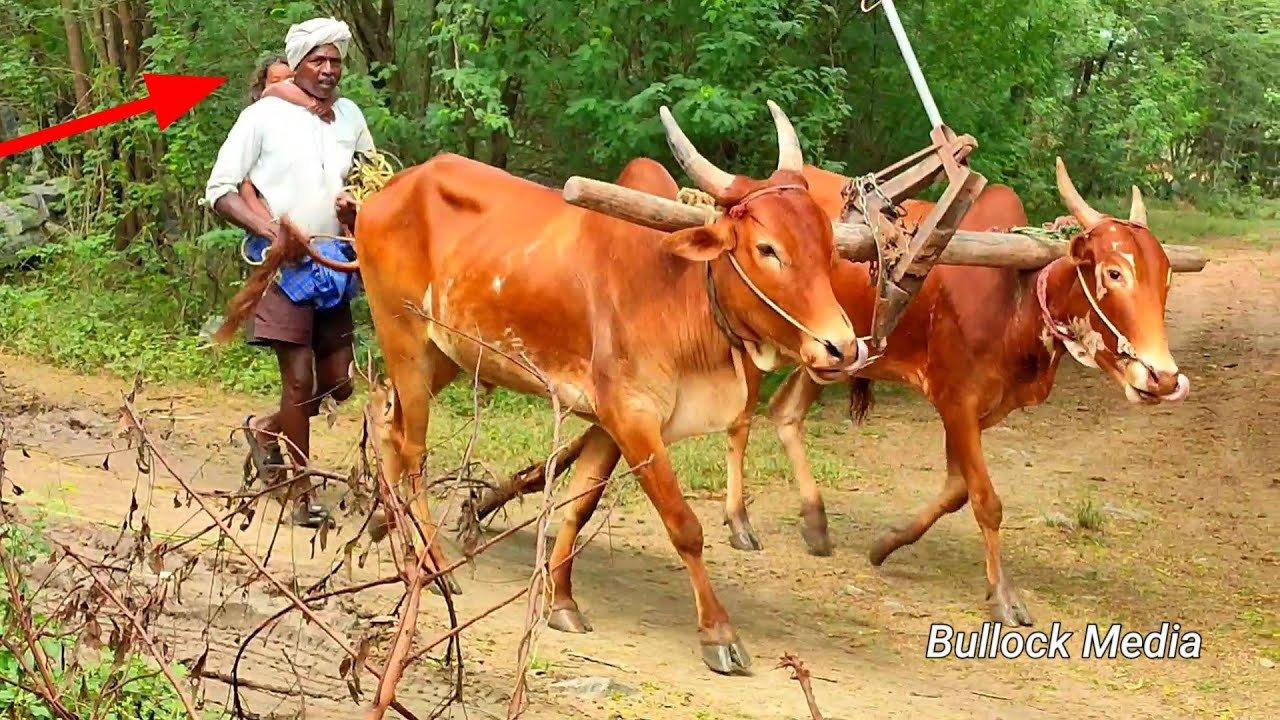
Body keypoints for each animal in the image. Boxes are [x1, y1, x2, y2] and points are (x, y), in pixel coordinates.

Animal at [342, 102, 871, 675]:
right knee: (412, 452)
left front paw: (562, 601)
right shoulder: (632, 417)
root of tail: (386, 192)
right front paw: (719, 634)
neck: (675, 291)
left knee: (386, 420)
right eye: (767, 248)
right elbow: (684, 525)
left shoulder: (605, 421)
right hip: (405, 339)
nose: (841, 347)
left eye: (828, 247)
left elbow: (577, 508)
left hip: (444, 355)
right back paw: (431, 562)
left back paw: (385, 526)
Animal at [491, 157, 1190, 628]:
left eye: (1164, 283)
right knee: (743, 421)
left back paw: (814, 520)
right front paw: (1005, 596)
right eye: (1112, 271)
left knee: (781, 415)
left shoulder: (979, 414)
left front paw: (885, 545)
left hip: (823, 353)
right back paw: (739, 521)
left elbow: (956, 490)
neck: (1015, 293)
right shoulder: (956, 401)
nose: (1161, 377)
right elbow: (986, 502)